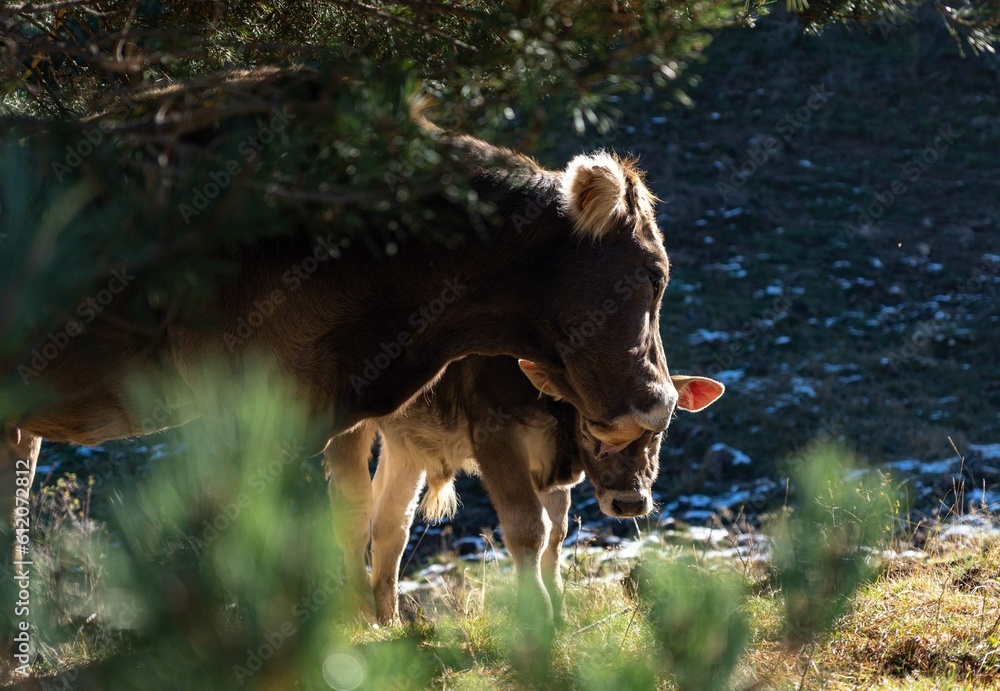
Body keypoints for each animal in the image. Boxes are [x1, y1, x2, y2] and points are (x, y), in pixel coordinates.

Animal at [329, 356, 724, 626]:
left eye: (658, 431)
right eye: (591, 428)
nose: (629, 503)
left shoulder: (548, 466)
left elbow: (556, 532)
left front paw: (559, 609)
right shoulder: (497, 439)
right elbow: (527, 528)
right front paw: (538, 612)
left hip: (404, 443)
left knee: (391, 524)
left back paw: (389, 620)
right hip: (350, 429)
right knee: (353, 517)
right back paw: (362, 613)